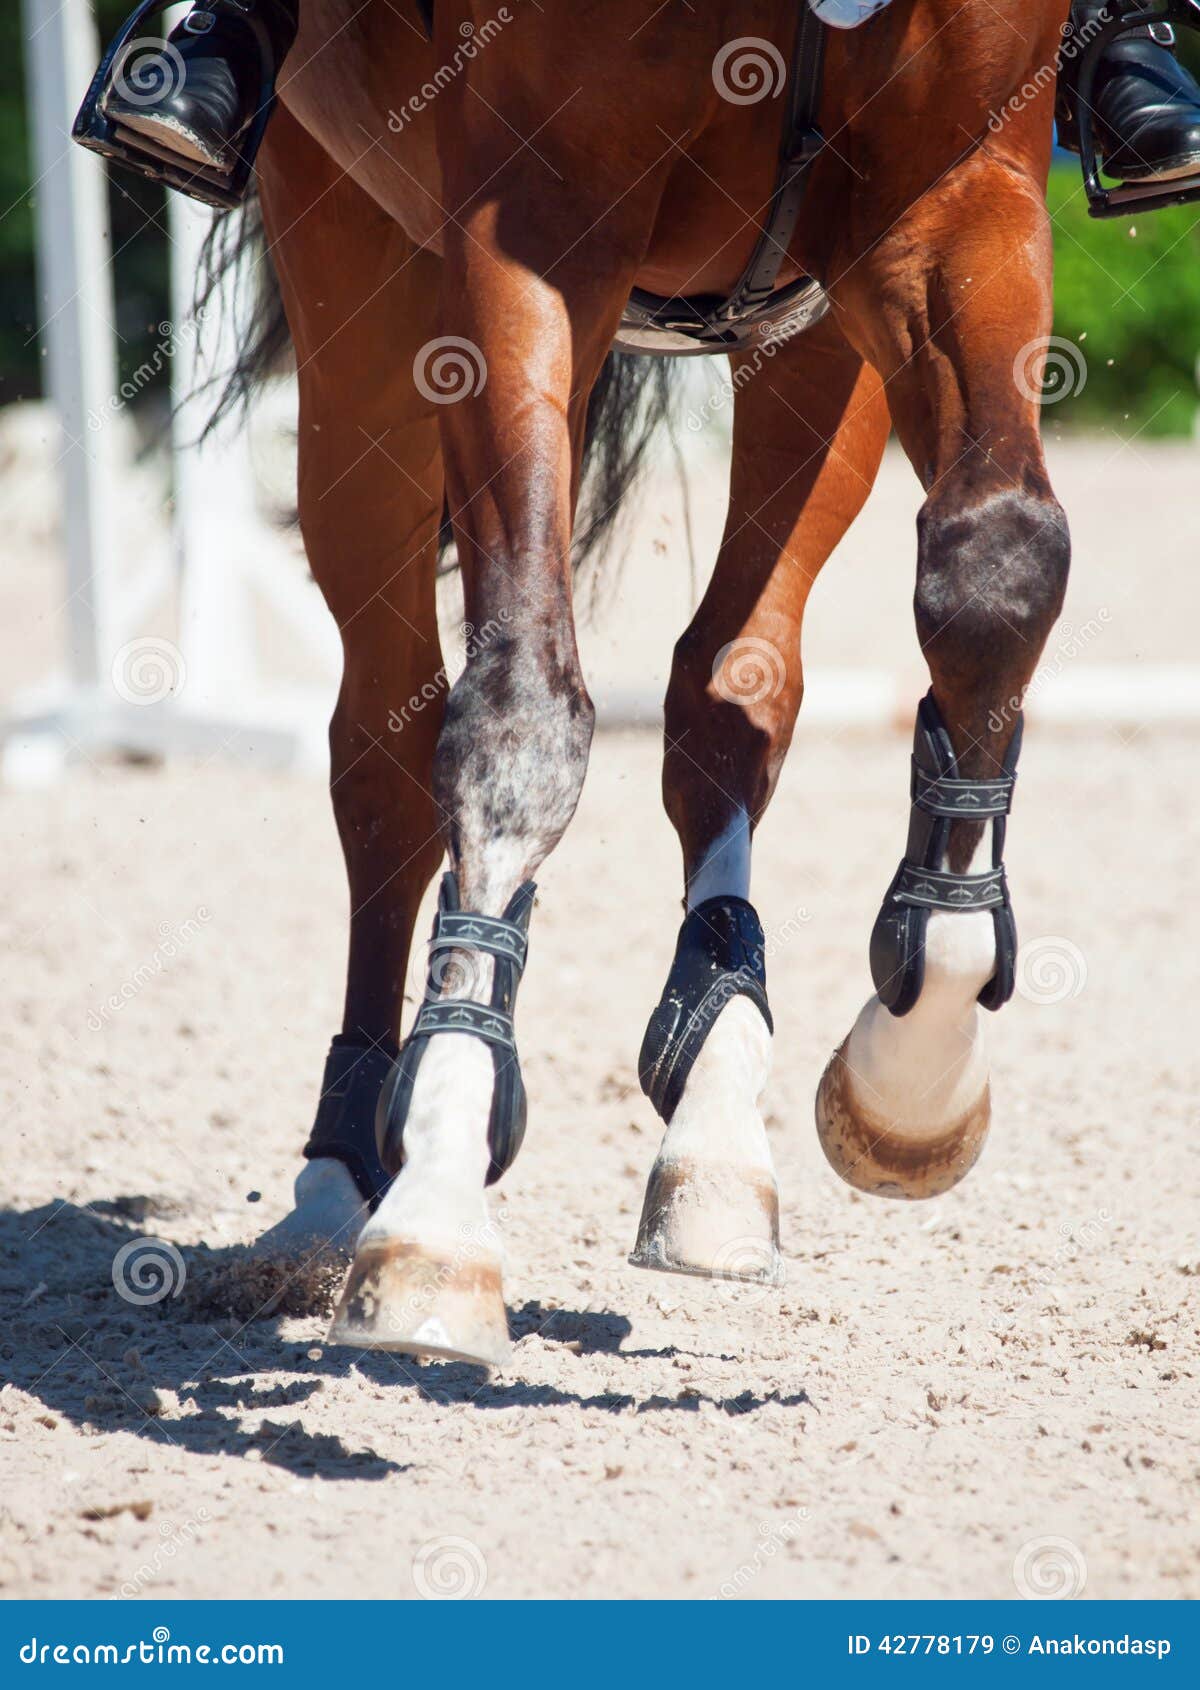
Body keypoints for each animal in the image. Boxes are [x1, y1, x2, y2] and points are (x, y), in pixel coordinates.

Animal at [213, 0, 1073, 1368]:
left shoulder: (952, 191)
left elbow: (997, 564)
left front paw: (914, 1074)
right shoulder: (533, 232)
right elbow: (520, 713)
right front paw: (438, 1193)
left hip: (813, 336)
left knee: (730, 683)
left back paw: (715, 1111)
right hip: (354, 276)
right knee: (385, 744)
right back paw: (343, 1173)